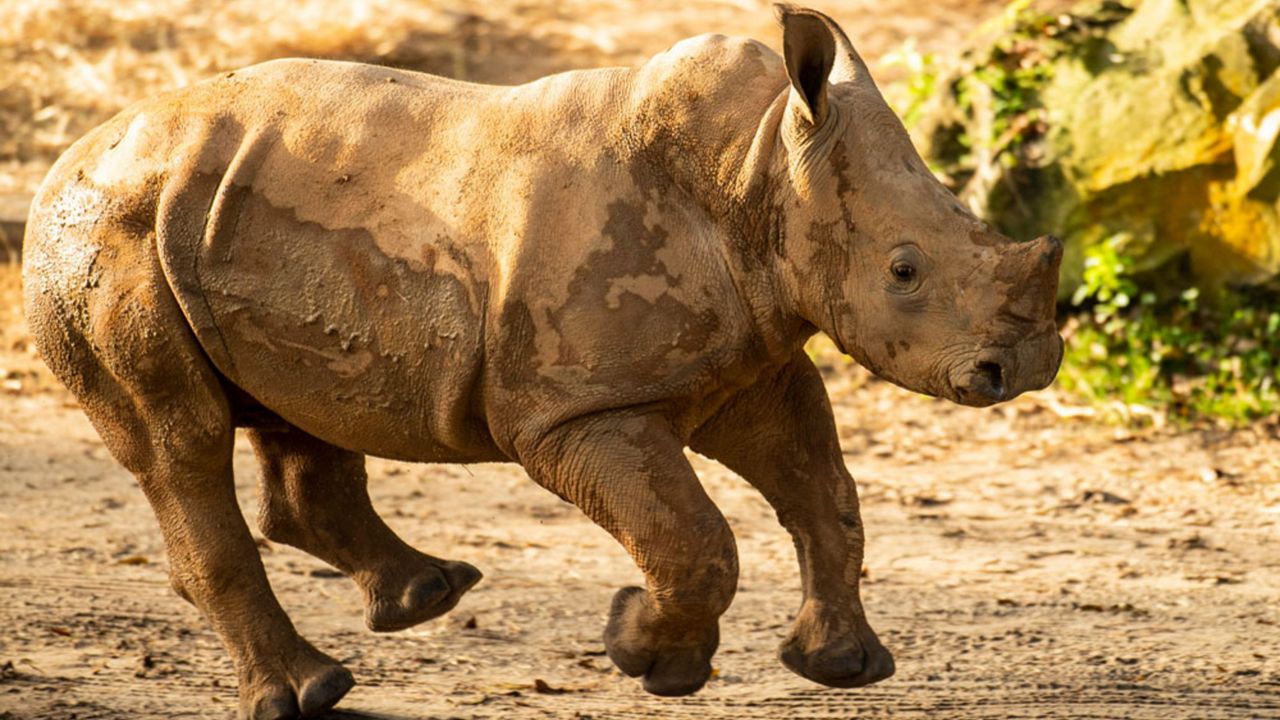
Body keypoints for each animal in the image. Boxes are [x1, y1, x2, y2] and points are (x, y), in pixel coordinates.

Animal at [22, 4, 1062, 718]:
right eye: (904, 270)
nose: (1026, 366)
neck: (758, 170)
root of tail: (61, 161)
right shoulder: (576, 408)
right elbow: (692, 536)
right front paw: (649, 657)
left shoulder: (750, 361)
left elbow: (824, 495)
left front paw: (840, 666)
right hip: (106, 235)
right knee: (181, 442)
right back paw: (312, 690)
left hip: (216, 220)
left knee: (297, 409)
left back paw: (426, 595)